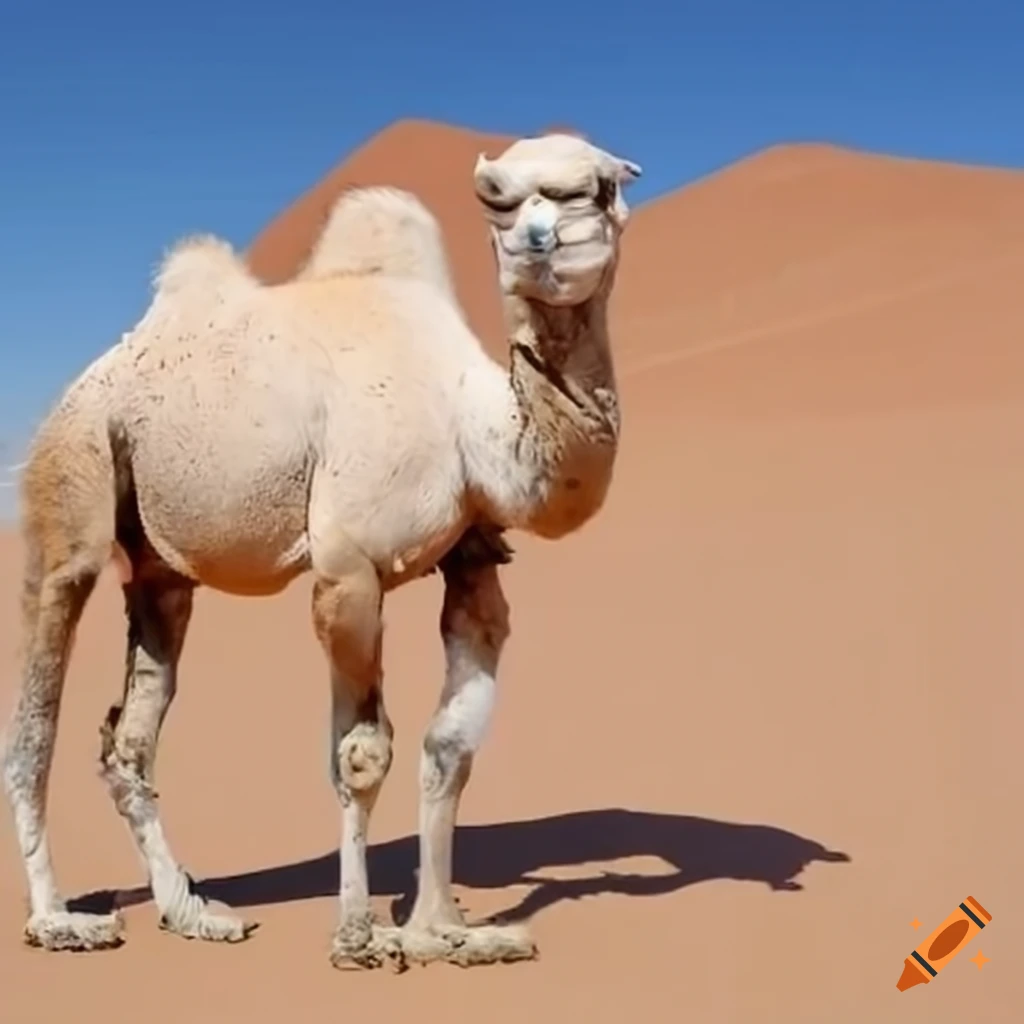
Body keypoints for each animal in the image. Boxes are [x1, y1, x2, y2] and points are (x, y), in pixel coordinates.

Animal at [1, 132, 642, 969]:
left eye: (600, 189)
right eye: (498, 200)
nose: (541, 243)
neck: (473, 422)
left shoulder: (473, 563)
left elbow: (450, 747)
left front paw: (445, 931)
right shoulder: (348, 571)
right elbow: (363, 754)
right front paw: (360, 936)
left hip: (159, 567)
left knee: (129, 738)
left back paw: (192, 911)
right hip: (73, 475)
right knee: (35, 717)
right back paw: (60, 920)